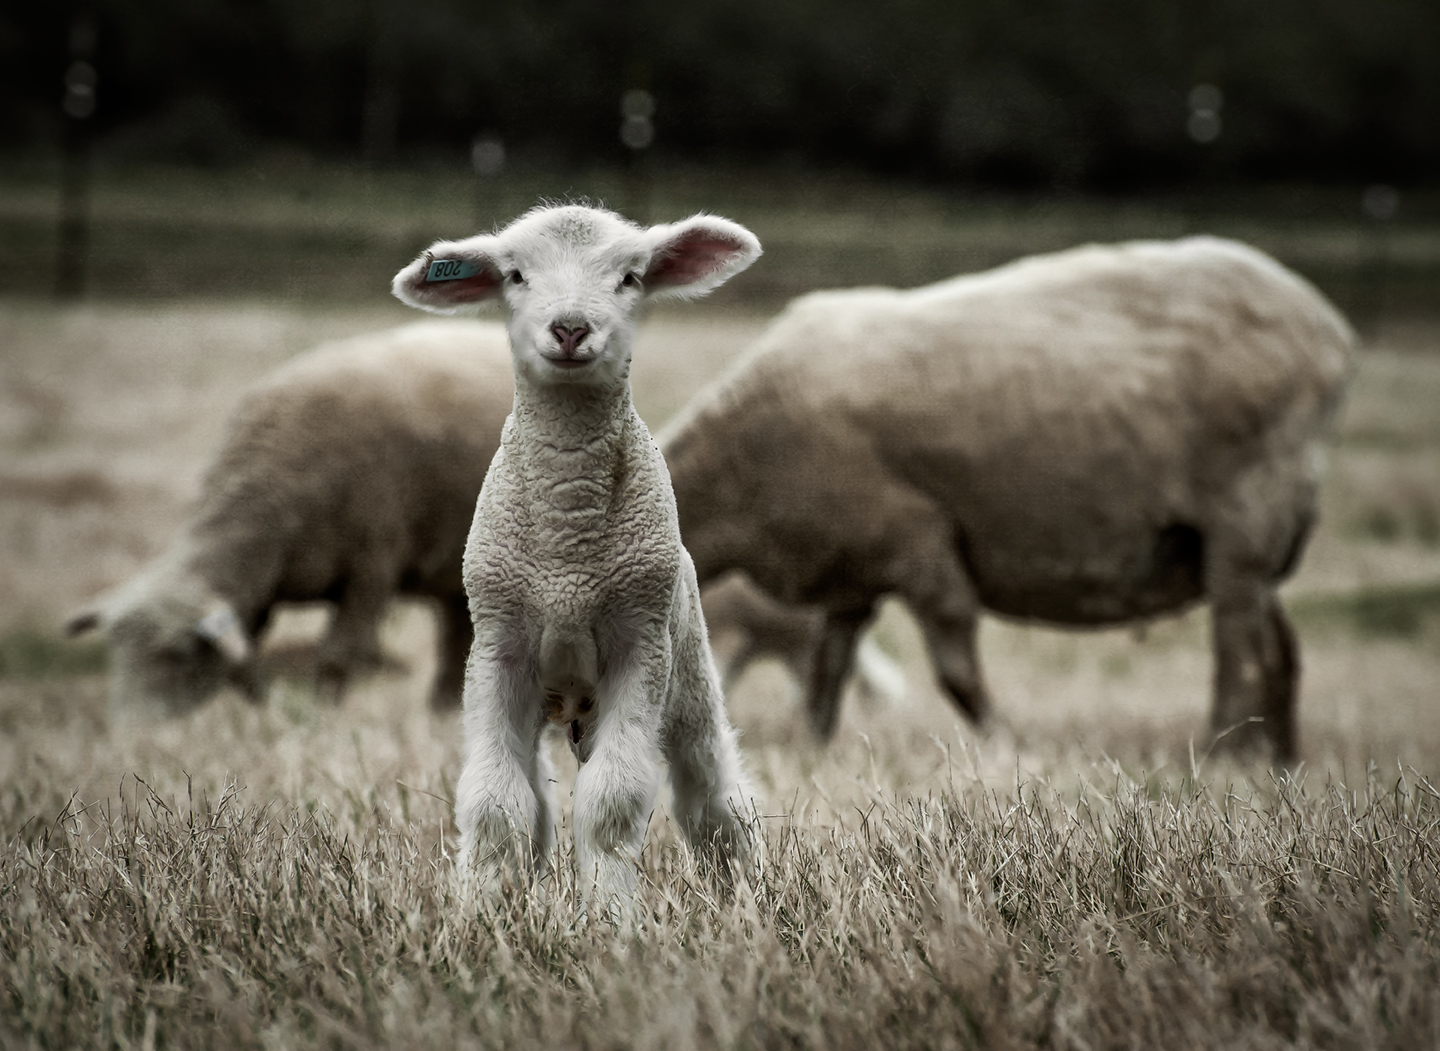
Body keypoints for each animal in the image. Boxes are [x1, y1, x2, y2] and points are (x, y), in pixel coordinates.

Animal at [65, 320, 515, 715]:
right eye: (115, 654)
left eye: (180, 655)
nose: (132, 735)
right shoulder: (258, 589)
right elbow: (245, 661)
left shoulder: (372, 568)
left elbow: (337, 654)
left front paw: (322, 718)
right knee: (459, 638)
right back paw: (445, 713)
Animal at [391, 203, 761, 905]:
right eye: (514, 274)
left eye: (631, 277)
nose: (569, 328)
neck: (567, 548)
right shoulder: (498, 649)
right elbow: (496, 802)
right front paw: (479, 908)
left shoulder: (640, 646)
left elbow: (611, 803)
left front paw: (611, 912)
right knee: (535, 797)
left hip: (688, 672)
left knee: (714, 792)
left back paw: (747, 896)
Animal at [659, 236, 1355, 762]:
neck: (737, 471)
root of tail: (1327, 333)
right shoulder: (850, 573)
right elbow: (828, 673)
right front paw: (813, 753)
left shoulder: (918, 541)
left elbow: (955, 669)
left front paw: (1007, 745)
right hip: (1252, 540)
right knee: (1280, 650)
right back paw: (1278, 757)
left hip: (1245, 518)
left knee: (1238, 650)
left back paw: (1219, 752)